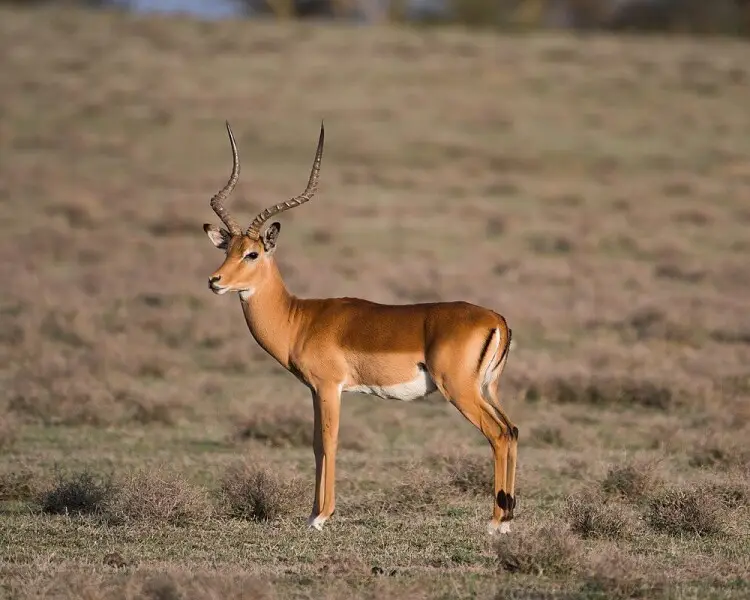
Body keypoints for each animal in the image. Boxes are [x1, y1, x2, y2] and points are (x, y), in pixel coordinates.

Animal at [203, 121, 518, 534]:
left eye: (252, 253)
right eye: (227, 249)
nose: (215, 281)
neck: (299, 318)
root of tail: (497, 319)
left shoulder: (329, 387)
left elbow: (329, 442)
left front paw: (321, 516)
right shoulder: (315, 390)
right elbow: (315, 445)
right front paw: (312, 512)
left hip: (461, 390)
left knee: (497, 434)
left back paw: (496, 523)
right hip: (488, 389)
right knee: (512, 431)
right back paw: (508, 516)